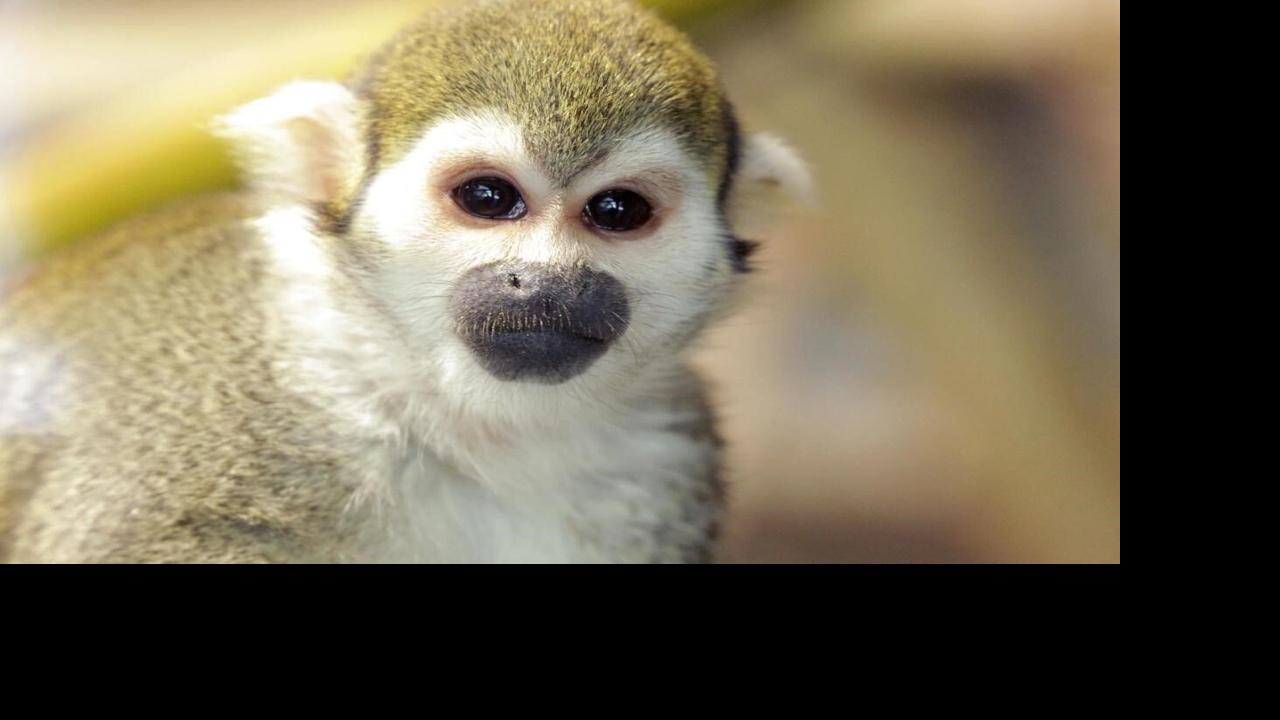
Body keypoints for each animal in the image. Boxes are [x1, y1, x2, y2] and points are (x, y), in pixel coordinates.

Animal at [0, 0, 808, 563]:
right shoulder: (229, 395)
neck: (467, 417)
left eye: (617, 211)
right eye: (488, 197)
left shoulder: (667, 459)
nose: (545, 282)